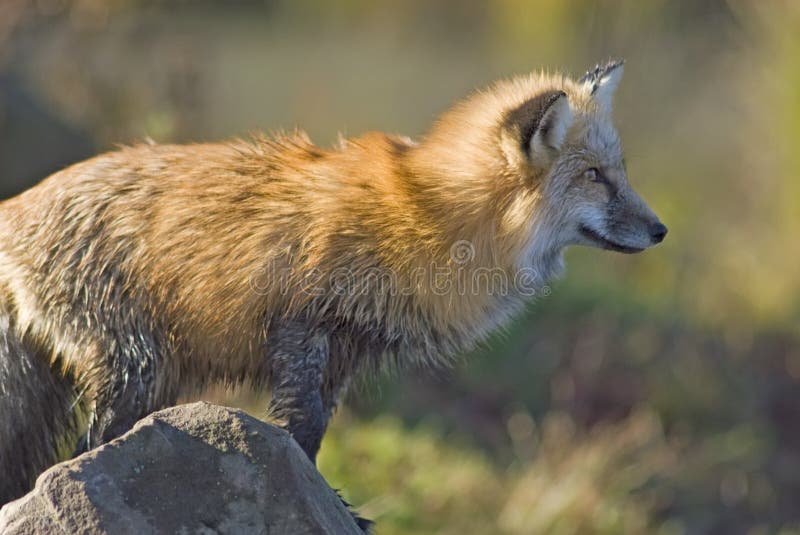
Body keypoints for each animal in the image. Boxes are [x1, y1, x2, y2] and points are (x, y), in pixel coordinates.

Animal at [0, 60, 665, 515]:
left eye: (621, 173)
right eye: (594, 177)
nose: (661, 230)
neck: (429, 220)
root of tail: (18, 205)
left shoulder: (347, 349)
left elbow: (315, 435)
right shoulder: (304, 328)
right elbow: (304, 428)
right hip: (137, 368)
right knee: (87, 449)